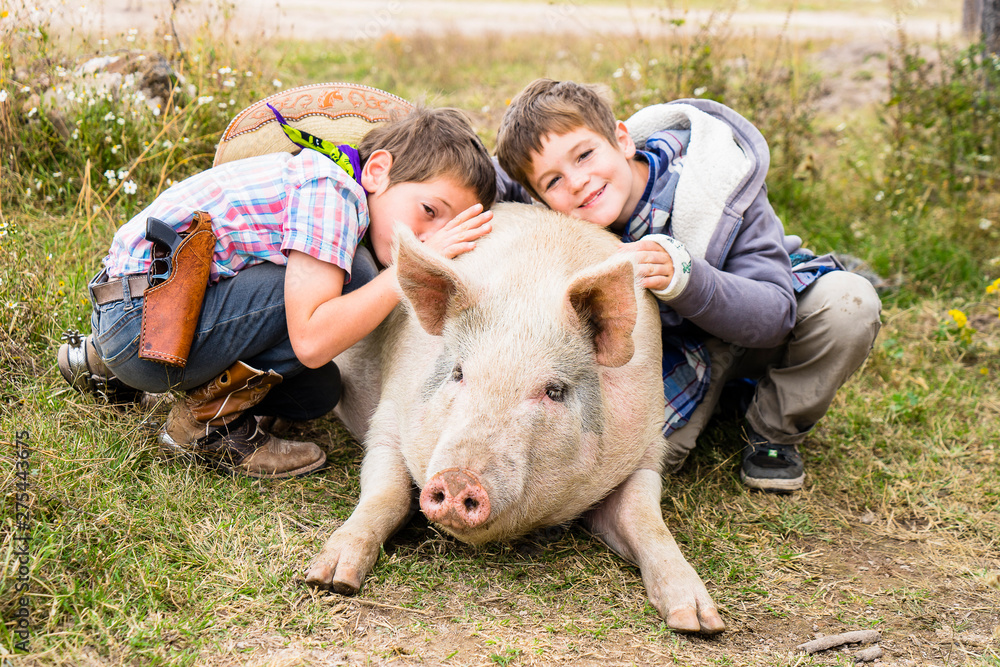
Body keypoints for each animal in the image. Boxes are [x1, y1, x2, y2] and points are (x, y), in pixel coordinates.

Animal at [305, 202, 725, 634]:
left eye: (554, 391)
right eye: (458, 372)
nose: (458, 479)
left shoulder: (646, 449)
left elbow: (647, 521)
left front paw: (699, 622)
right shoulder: (388, 419)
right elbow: (385, 495)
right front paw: (328, 579)